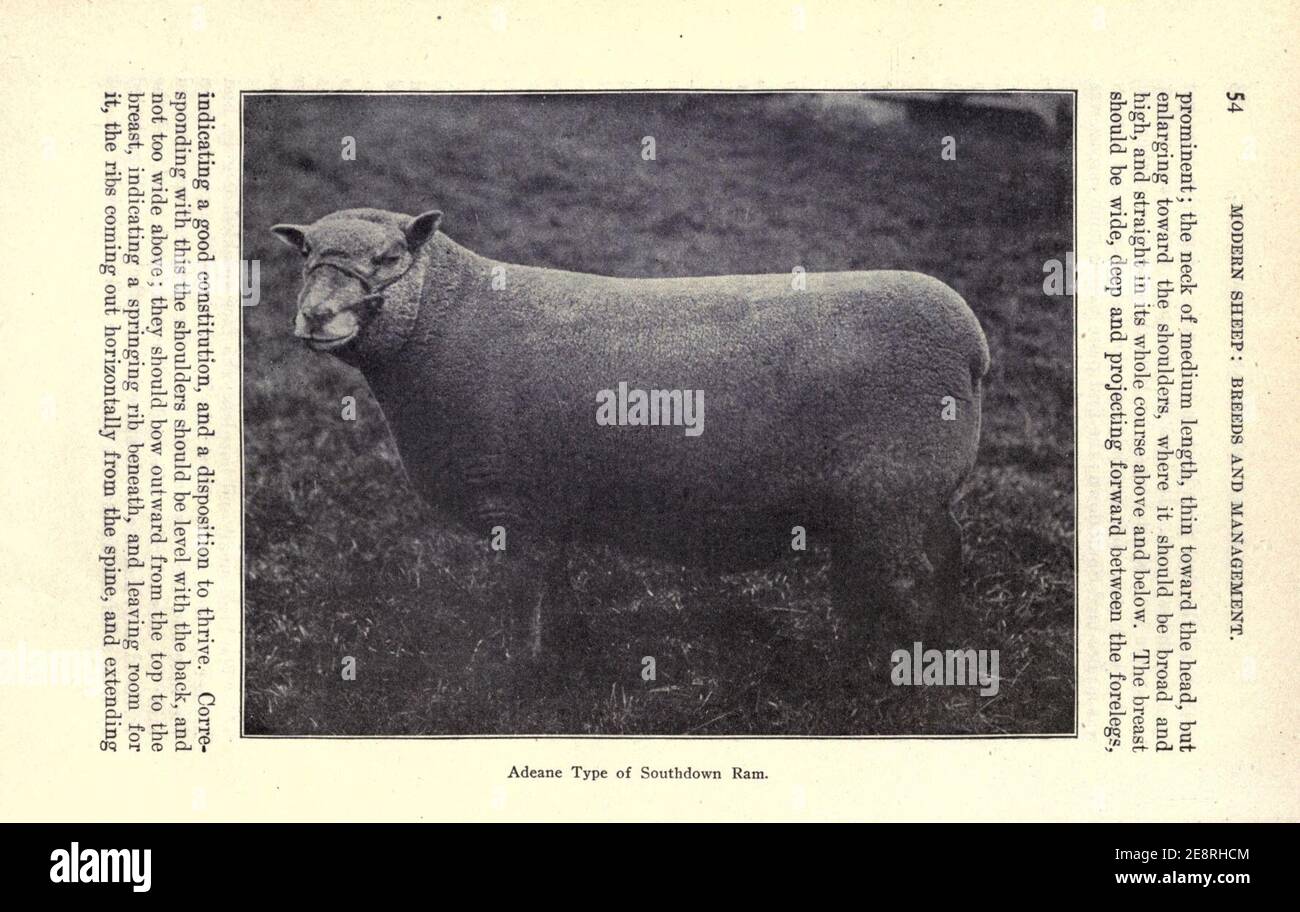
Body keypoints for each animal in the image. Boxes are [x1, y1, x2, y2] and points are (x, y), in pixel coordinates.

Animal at [270, 207, 990, 661]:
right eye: (305, 254)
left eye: (390, 257)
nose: (317, 316)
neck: (444, 320)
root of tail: (972, 346)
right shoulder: (547, 504)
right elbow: (555, 582)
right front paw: (570, 646)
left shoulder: (514, 501)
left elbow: (523, 592)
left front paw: (520, 668)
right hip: (900, 498)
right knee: (939, 556)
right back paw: (921, 640)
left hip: (893, 489)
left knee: (909, 577)